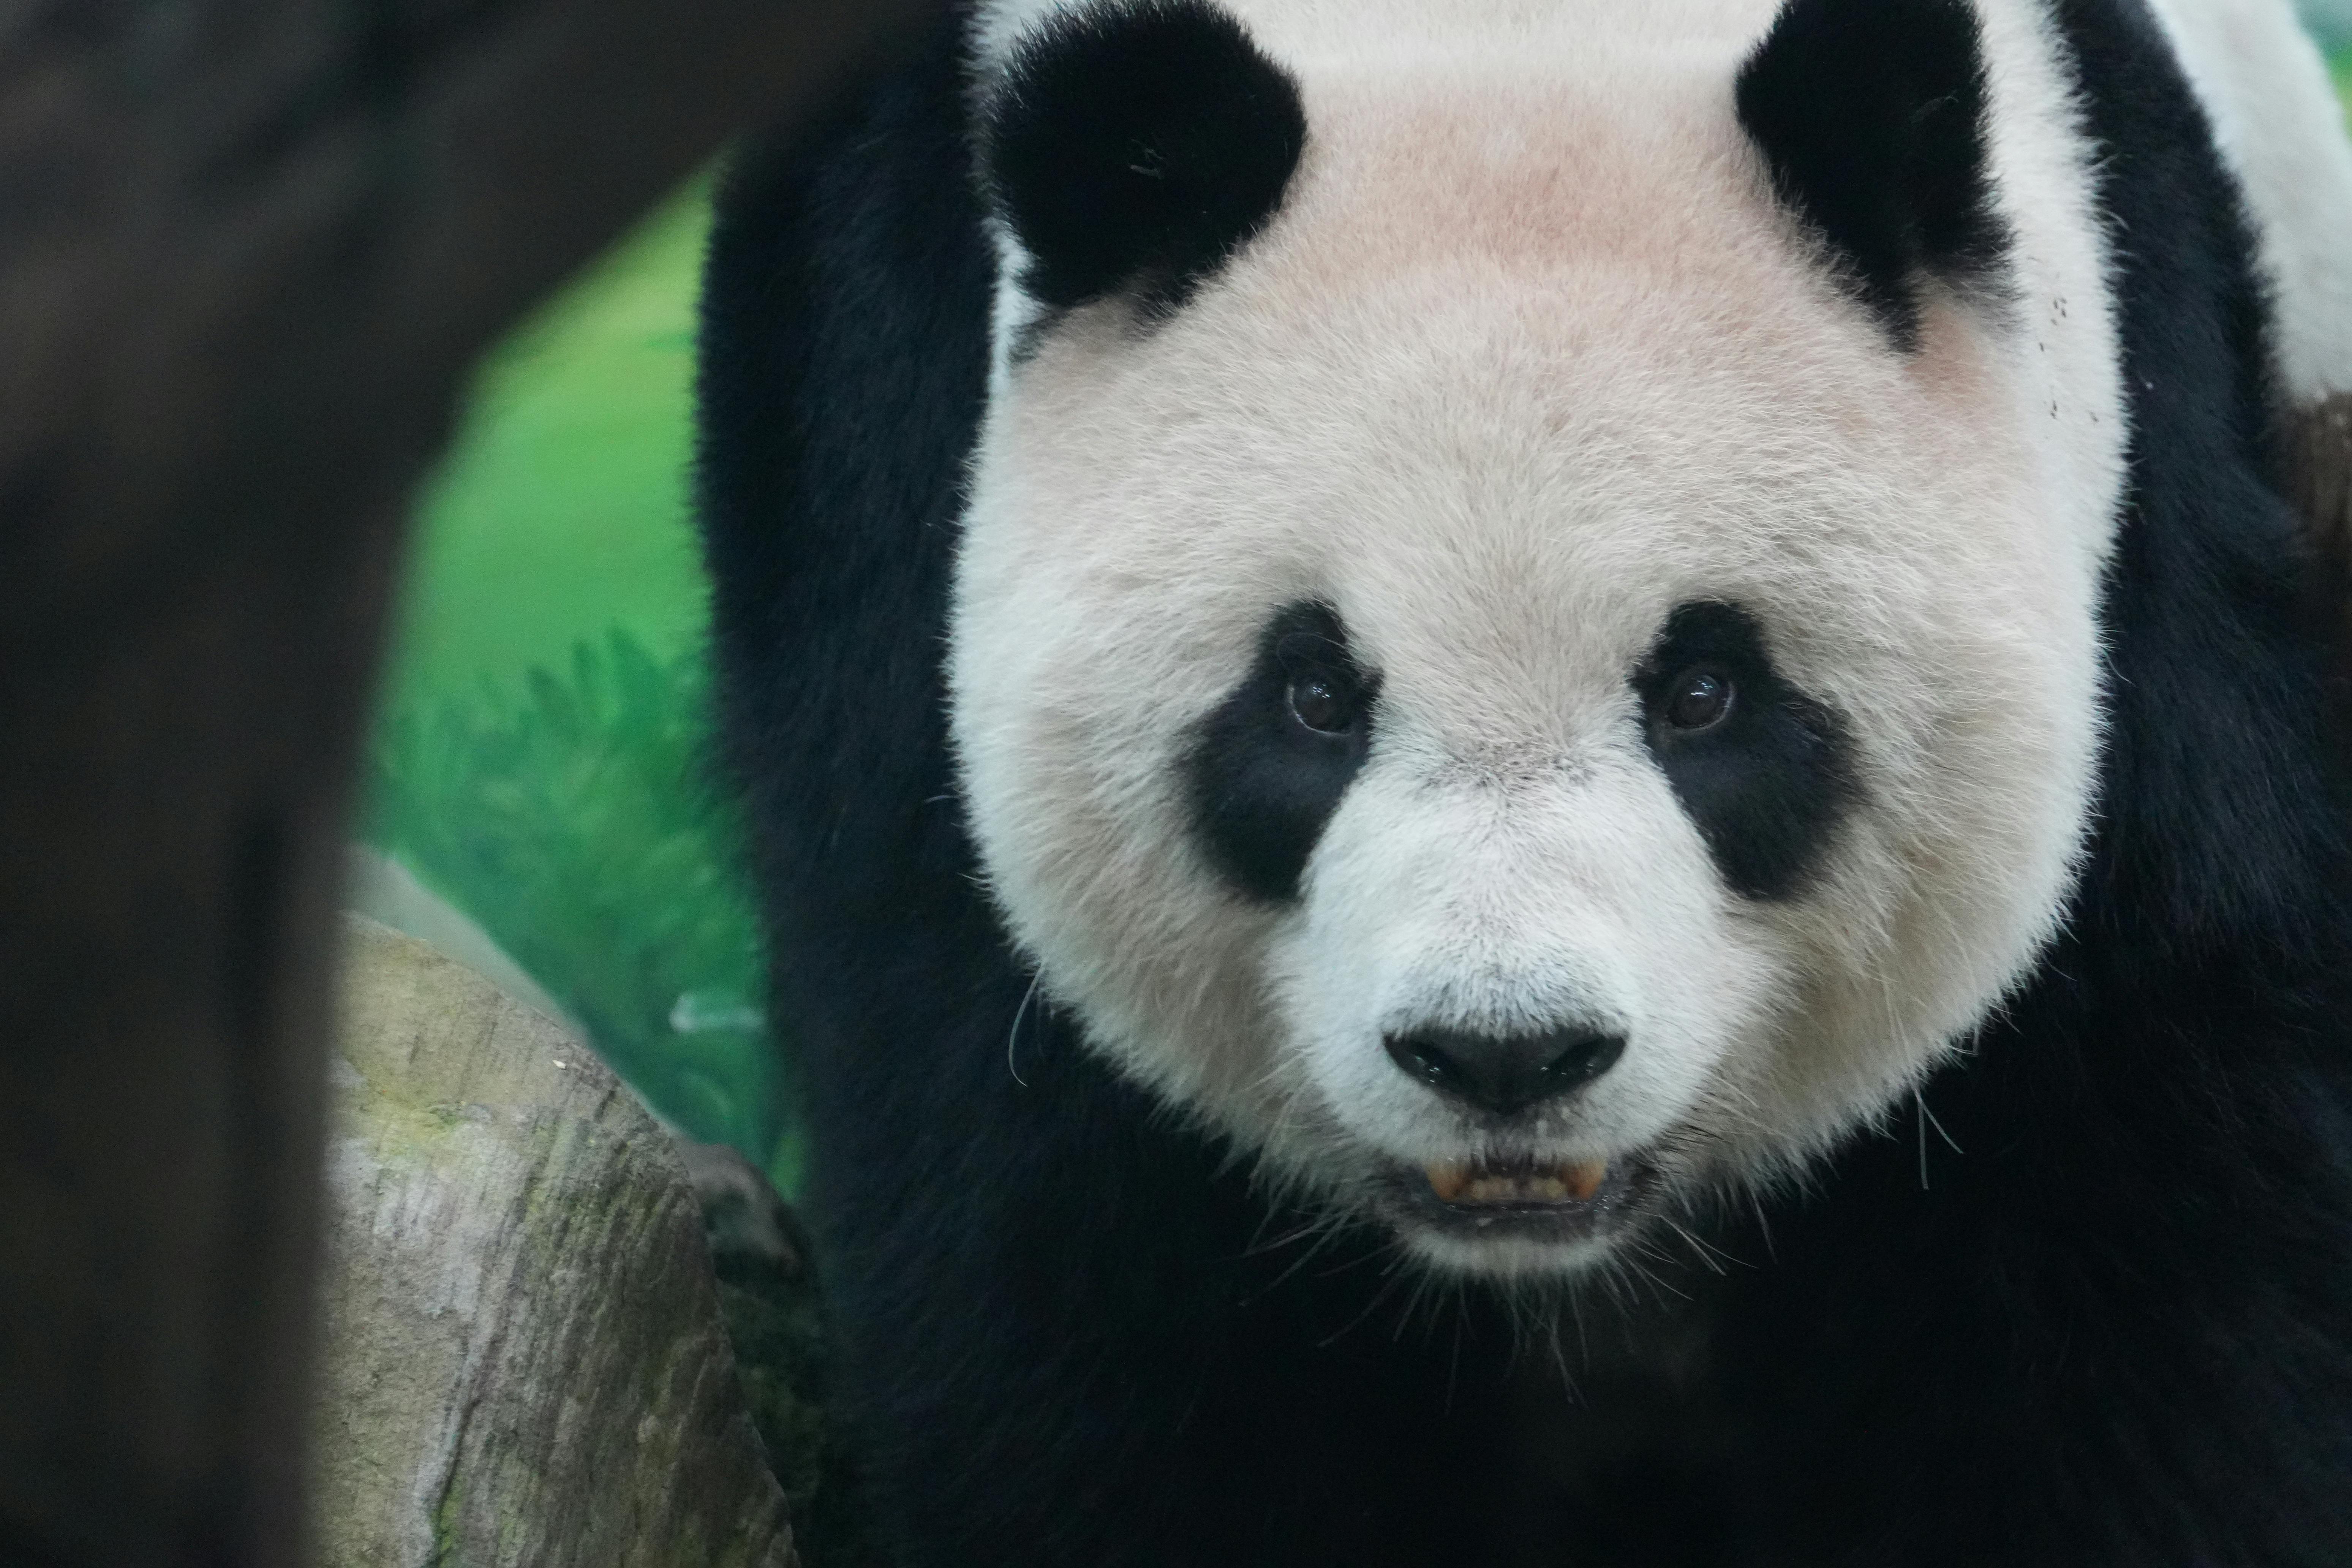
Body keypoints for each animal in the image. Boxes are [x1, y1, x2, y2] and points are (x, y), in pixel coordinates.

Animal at [696, 0, 2352, 1562]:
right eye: (1313, 697)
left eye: (1704, 693)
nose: (1506, 1053)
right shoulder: (879, 456)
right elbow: (1074, 1278)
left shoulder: (2148, 529)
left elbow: (2109, 1219)